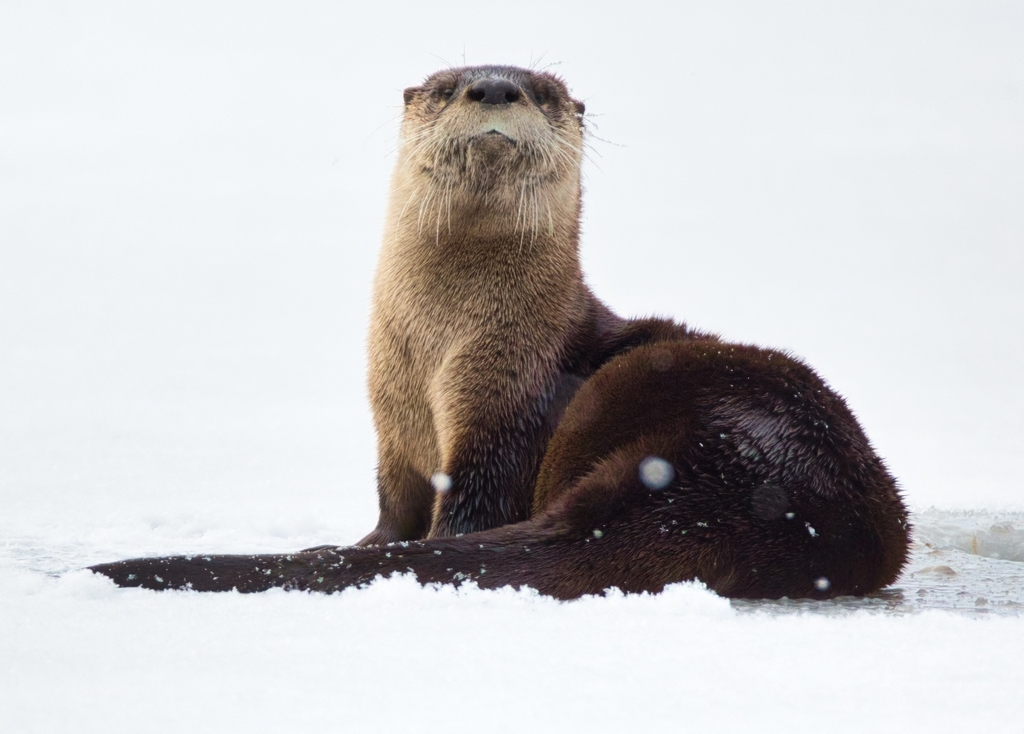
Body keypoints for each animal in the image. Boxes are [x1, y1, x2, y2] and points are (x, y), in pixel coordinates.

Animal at [90, 65, 910, 600]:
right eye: (451, 84)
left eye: (541, 91)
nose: (494, 88)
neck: (438, 355)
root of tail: (728, 492)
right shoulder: (394, 425)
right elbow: (393, 509)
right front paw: (366, 542)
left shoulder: (507, 406)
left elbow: (466, 506)